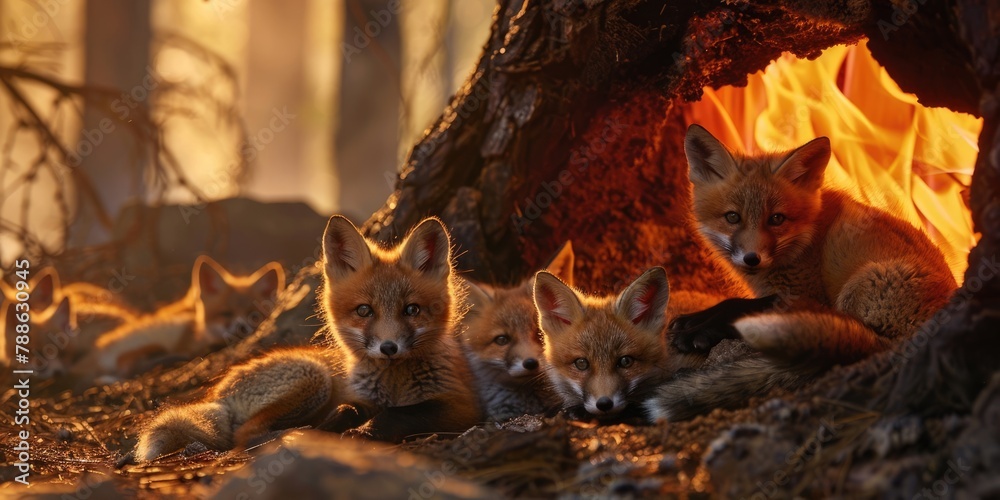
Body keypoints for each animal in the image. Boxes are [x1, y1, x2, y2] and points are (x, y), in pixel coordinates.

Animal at [135, 216, 480, 460]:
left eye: (412, 310)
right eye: (364, 310)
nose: (388, 347)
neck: (392, 385)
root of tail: (219, 391)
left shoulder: (463, 406)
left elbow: (400, 413)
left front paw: (361, 430)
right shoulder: (362, 398)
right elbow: (367, 411)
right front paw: (345, 430)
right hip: (315, 377)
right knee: (245, 434)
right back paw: (290, 436)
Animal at [645, 124, 958, 421]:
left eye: (776, 219)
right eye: (732, 217)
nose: (752, 259)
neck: (806, 236)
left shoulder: (804, 295)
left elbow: (736, 305)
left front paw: (697, 331)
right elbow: (730, 302)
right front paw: (691, 321)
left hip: (863, 282)